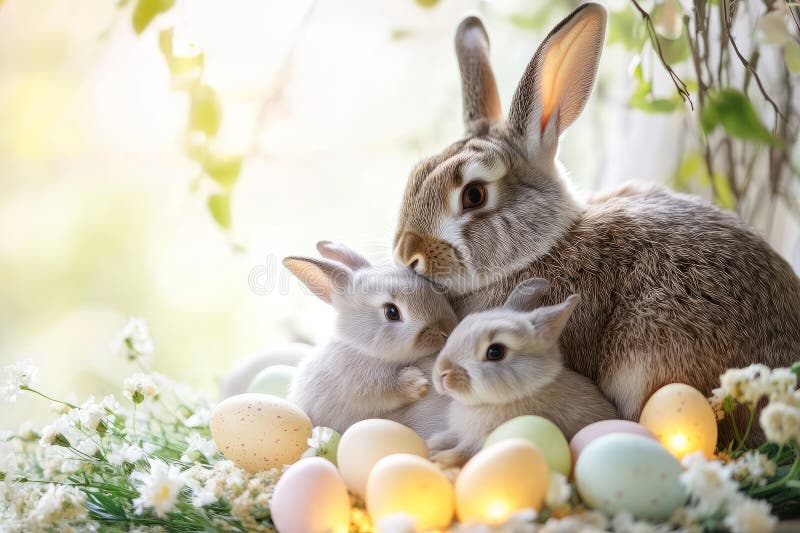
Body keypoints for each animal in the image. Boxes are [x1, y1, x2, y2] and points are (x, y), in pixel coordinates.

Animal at [283, 241, 457, 436]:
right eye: (392, 312)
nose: (447, 330)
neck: (363, 348)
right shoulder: (359, 385)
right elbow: (385, 391)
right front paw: (417, 382)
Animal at [427, 278, 617, 467]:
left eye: (495, 352)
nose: (441, 373)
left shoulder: (480, 441)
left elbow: (463, 452)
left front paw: (438, 459)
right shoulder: (461, 432)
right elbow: (448, 437)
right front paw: (431, 445)